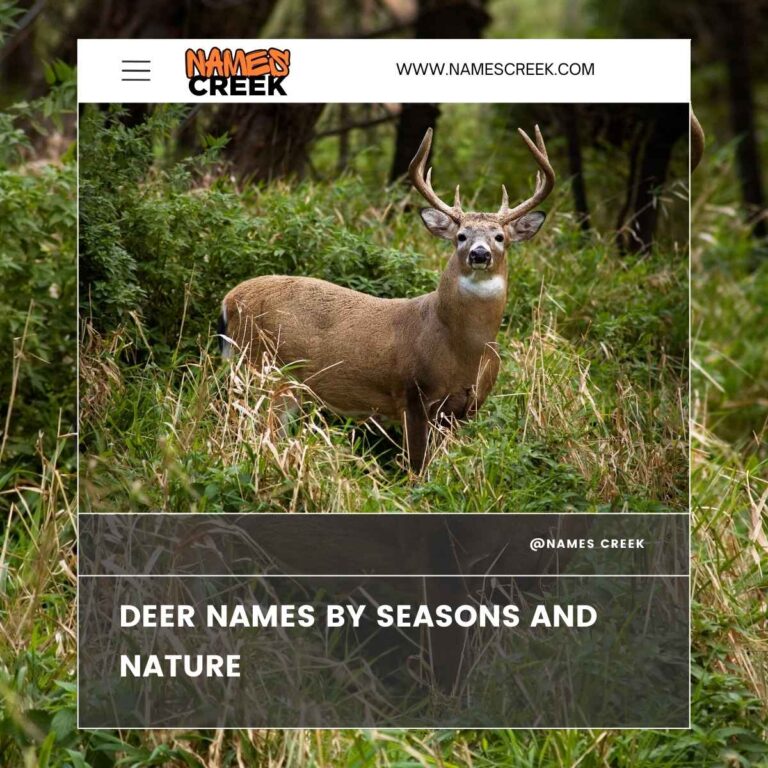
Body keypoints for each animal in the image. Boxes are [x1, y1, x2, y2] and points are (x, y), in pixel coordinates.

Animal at [219, 125, 555, 472]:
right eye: (461, 236)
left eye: (499, 237)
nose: (479, 254)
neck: (463, 348)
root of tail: (229, 300)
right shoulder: (413, 393)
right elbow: (417, 467)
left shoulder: (467, 407)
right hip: (262, 367)